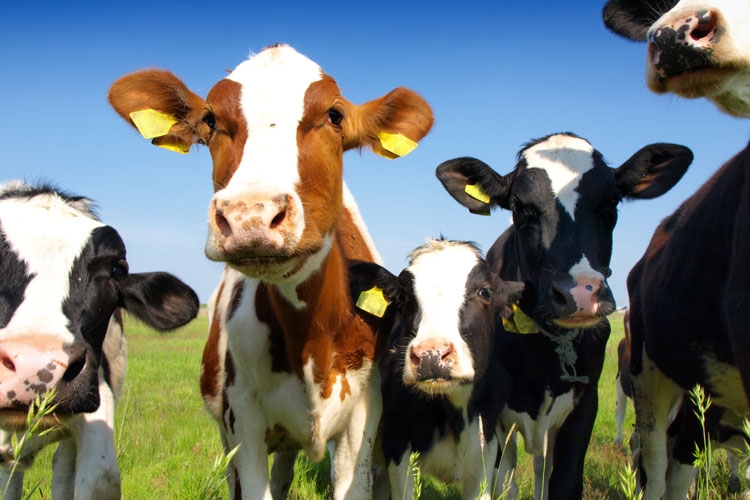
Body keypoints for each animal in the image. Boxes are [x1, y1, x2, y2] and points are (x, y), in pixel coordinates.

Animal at [107, 44, 434, 500]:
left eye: (335, 115)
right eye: (210, 120)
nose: (250, 215)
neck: (312, 340)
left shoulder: (361, 421)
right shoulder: (241, 421)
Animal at [348, 238, 524, 500]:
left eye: (485, 291)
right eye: (403, 298)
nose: (430, 355)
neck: (455, 413)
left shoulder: (486, 450)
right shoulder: (398, 447)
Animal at [435, 132, 692, 499]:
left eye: (611, 203)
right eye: (520, 208)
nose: (579, 293)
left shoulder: (584, 406)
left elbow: (565, 481)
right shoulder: (488, 407)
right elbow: (495, 483)